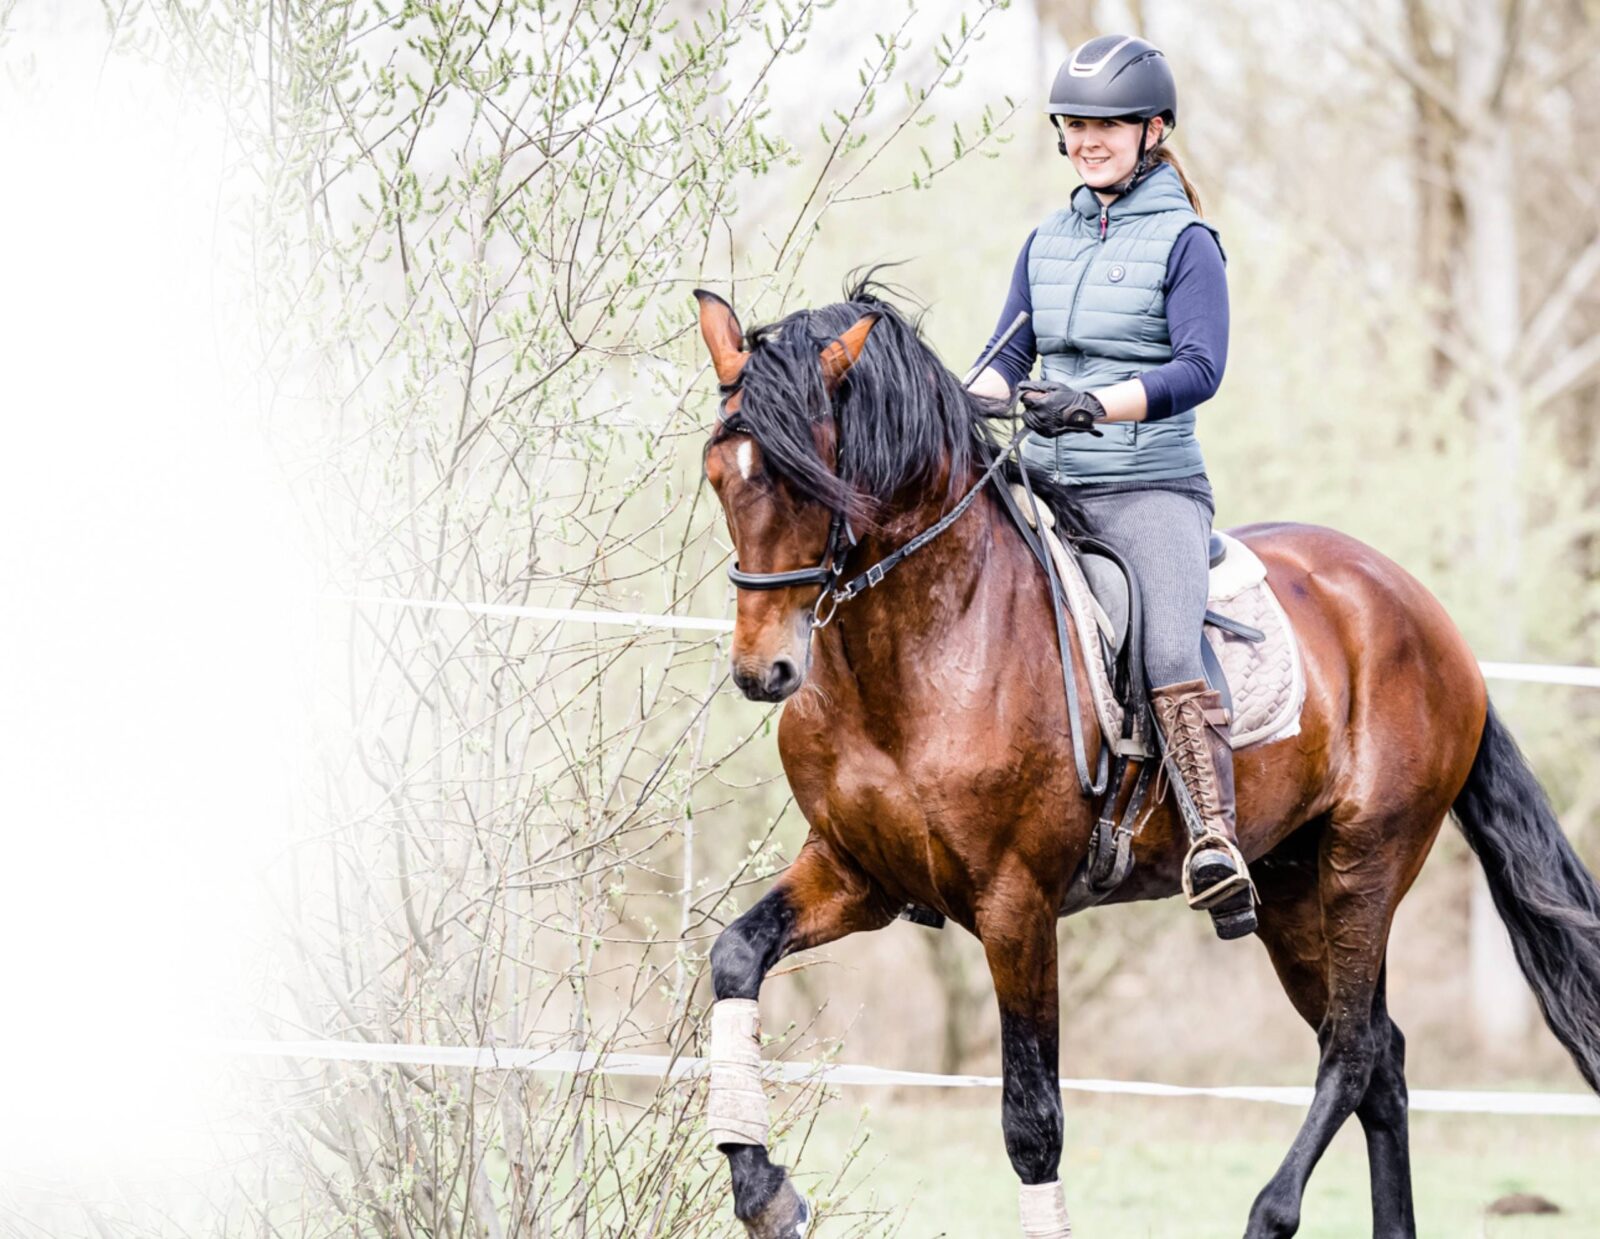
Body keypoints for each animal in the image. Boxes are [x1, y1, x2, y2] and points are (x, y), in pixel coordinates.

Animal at [691, 279, 1600, 1239]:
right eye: (719, 476)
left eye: (807, 478)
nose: (762, 671)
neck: (924, 643)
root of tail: (1425, 612)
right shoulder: (856, 870)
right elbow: (735, 957)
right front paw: (763, 1190)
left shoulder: (1015, 905)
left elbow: (1033, 1122)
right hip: (1290, 886)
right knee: (1379, 1057)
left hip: (1369, 858)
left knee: (1352, 1050)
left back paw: (1268, 1212)